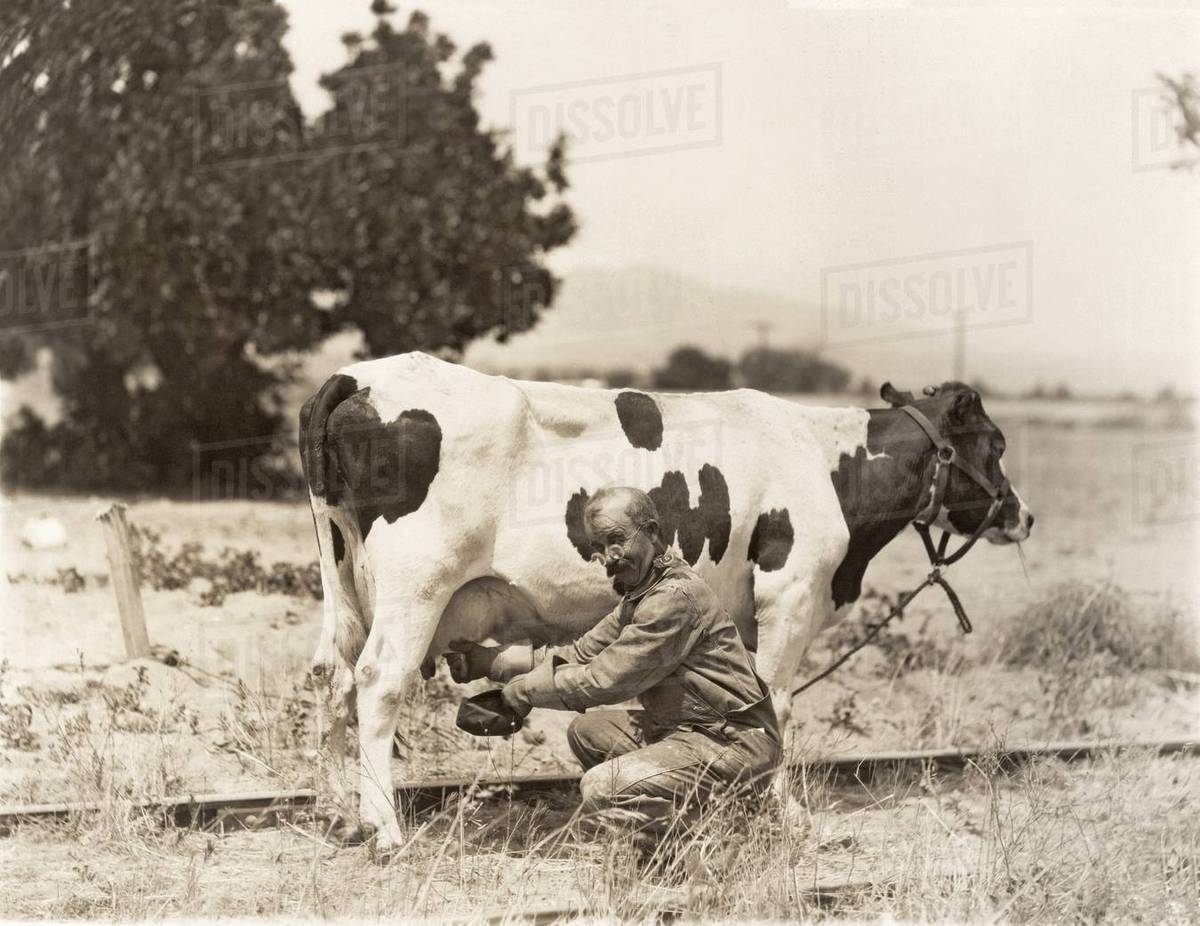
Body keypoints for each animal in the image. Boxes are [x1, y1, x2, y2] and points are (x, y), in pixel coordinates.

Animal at [299, 351, 1033, 850]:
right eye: (996, 445)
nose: (1022, 516)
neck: (825, 460)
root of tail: (358, 376)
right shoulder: (792, 591)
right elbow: (779, 701)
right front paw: (784, 812)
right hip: (416, 586)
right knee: (378, 682)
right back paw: (386, 831)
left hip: (343, 585)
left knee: (332, 677)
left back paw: (340, 814)